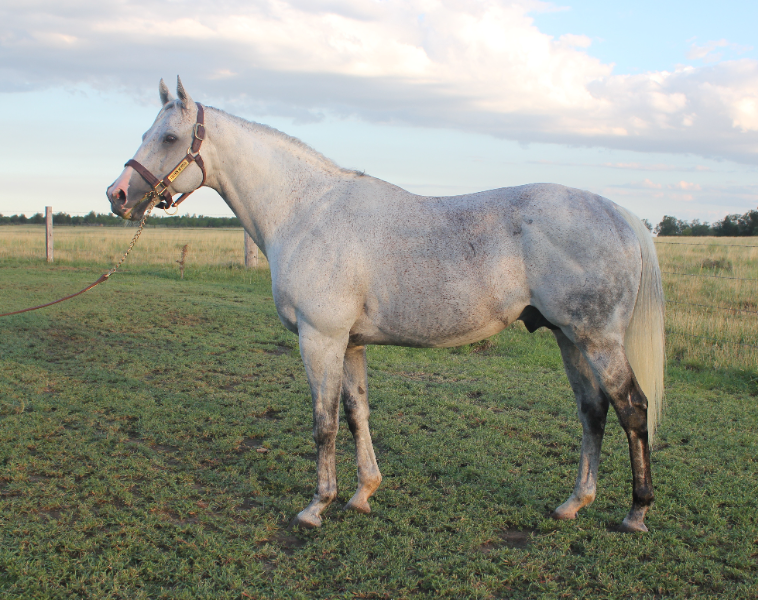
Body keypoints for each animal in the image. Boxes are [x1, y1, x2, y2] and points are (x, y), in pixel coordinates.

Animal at [107, 78, 665, 532]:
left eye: (169, 138)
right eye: (146, 133)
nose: (117, 194)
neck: (305, 211)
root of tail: (618, 213)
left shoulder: (320, 339)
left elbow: (324, 424)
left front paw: (316, 506)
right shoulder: (350, 343)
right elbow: (357, 414)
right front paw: (362, 493)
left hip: (598, 341)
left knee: (632, 409)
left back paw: (635, 513)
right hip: (570, 338)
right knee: (593, 412)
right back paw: (574, 503)